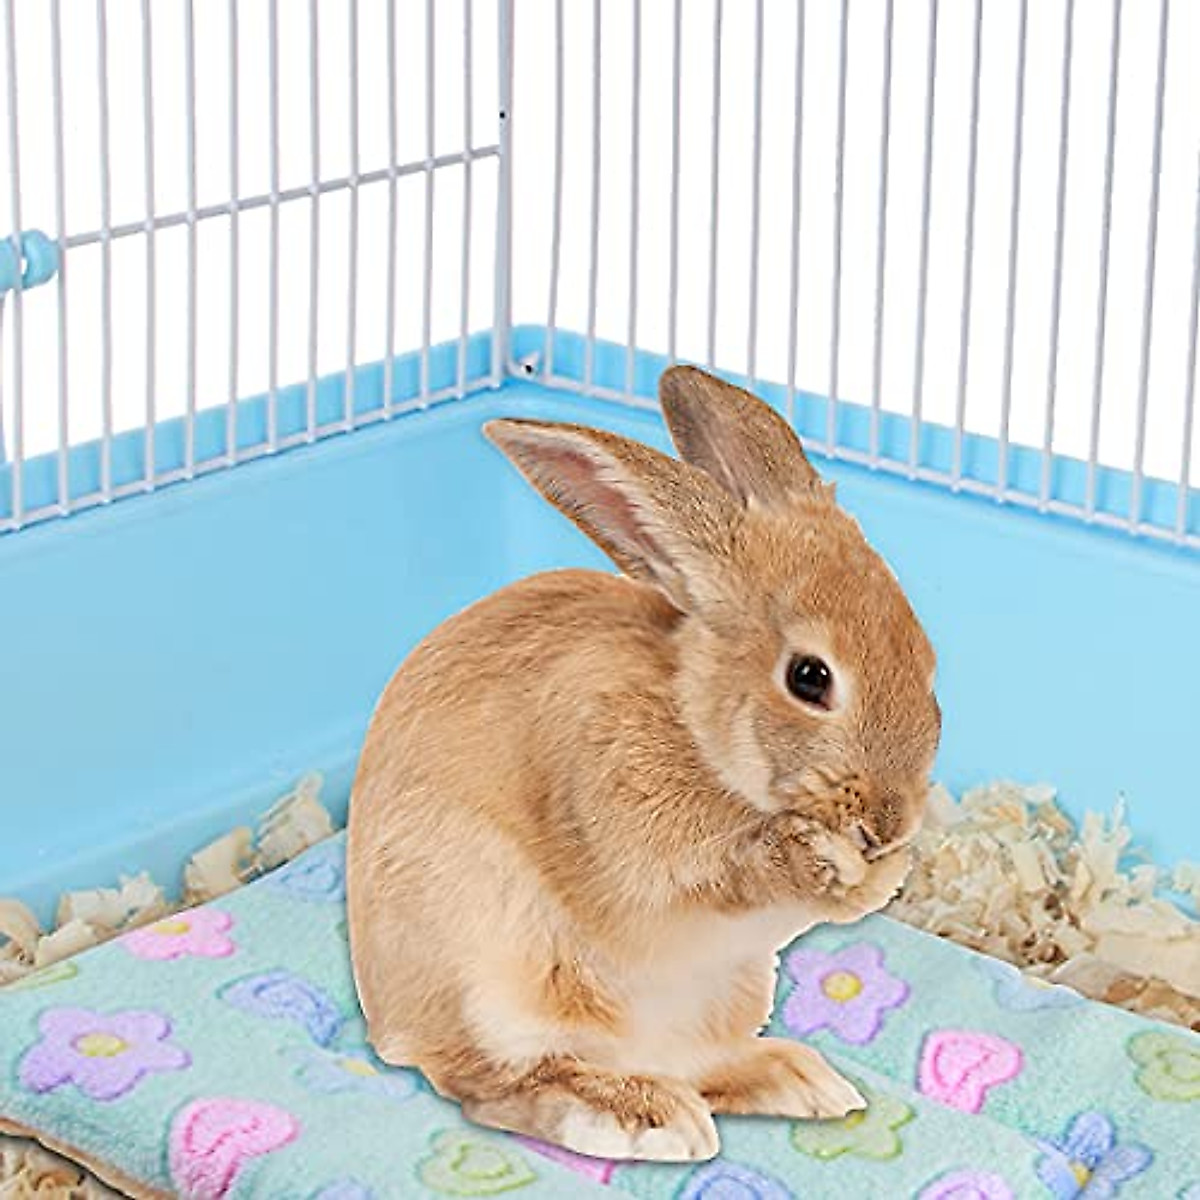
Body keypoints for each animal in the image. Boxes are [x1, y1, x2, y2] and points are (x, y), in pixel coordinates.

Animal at [346, 365, 940, 1164]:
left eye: (925, 658)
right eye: (810, 678)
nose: (889, 821)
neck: (697, 727)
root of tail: (385, 1022)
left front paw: (876, 876)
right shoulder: (631, 843)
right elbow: (712, 880)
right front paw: (815, 861)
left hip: (725, 993)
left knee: (696, 1063)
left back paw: (793, 1080)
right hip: (494, 976)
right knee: (491, 1083)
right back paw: (640, 1115)